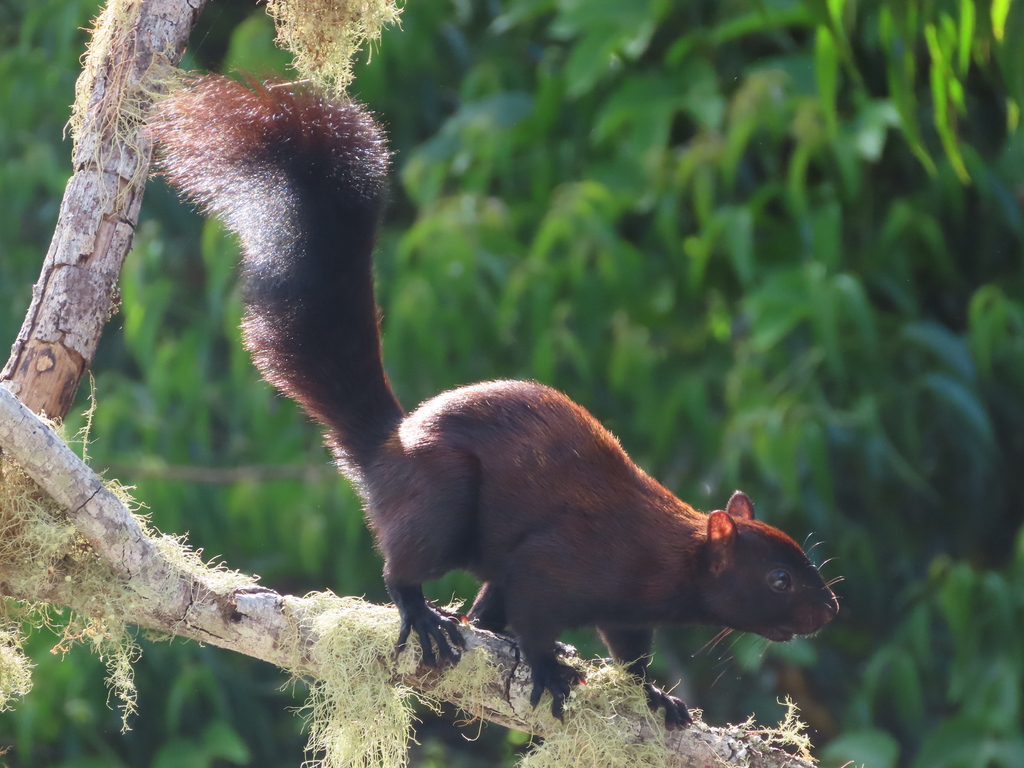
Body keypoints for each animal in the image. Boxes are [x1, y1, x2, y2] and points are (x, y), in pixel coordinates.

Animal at [151, 76, 839, 729]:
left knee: (484, 604)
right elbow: (537, 619)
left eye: (805, 558)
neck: (665, 556)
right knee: (405, 570)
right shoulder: (558, 563)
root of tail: (387, 450)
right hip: (442, 500)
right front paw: (548, 668)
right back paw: (426, 616)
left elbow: (630, 656)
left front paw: (655, 696)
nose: (830, 609)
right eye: (778, 579)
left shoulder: (623, 613)